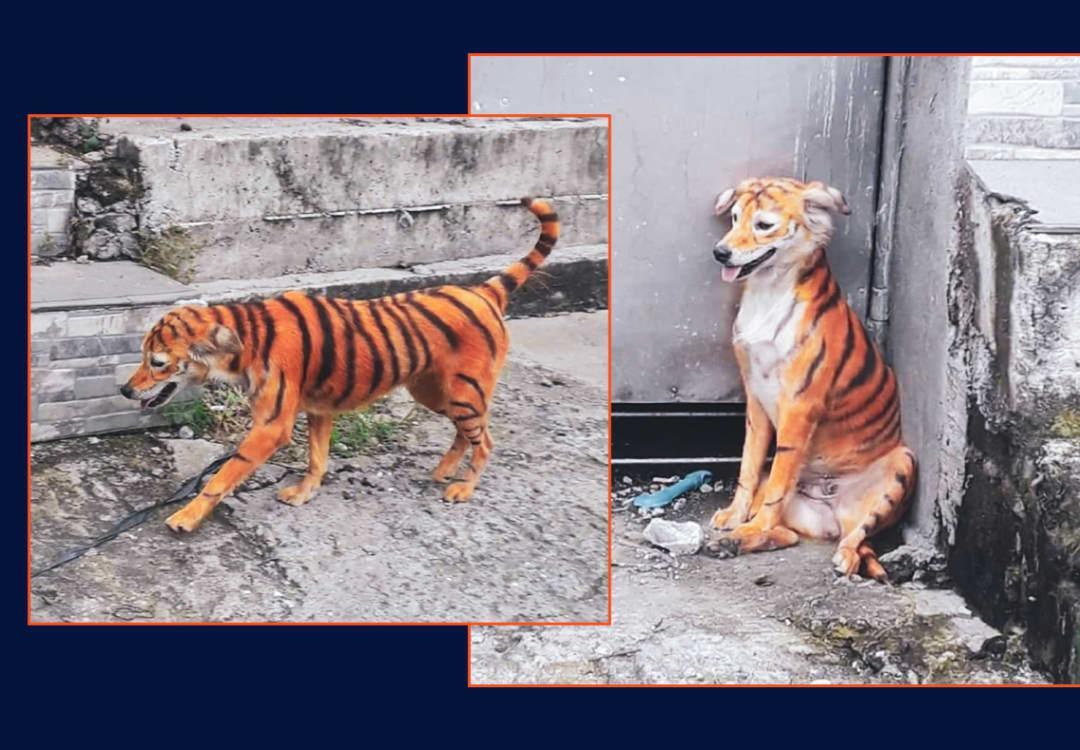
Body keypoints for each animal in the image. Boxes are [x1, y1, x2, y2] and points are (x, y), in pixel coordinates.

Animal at [120, 197, 560, 533]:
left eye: (157, 362)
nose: (125, 390)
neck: (244, 340)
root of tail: (484, 290)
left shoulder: (272, 425)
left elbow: (223, 475)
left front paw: (186, 516)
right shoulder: (318, 409)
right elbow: (317, 458)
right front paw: (303, 493)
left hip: (464, 392)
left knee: (485, 440)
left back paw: (463, 488)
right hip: (434, 391)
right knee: (466, 433)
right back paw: (443, 471)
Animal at [705, 177, 916, 581]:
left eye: (764, 225)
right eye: (735, 217)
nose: (719, 253)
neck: (767, 291)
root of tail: (833, 509)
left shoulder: (799, 405)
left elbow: (776, 485)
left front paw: (750, 526)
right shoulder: (755, 399)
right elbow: (748, 467)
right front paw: (736, 518)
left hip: (903, 464)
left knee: (855, 541)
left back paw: (841, 558)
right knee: (787, 535)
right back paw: (732, 542)